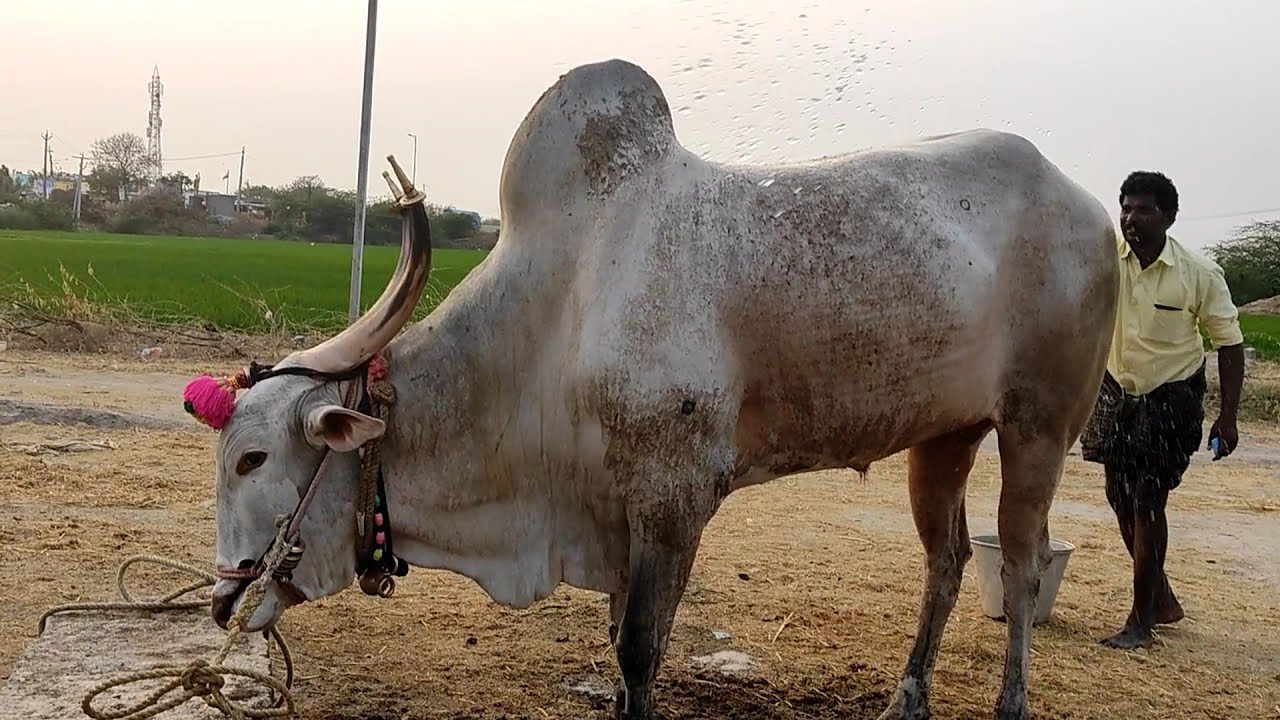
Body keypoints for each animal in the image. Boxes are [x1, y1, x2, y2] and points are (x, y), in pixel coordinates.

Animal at [202, 58, 1118, 720]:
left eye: (250, 458)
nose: (222, 598)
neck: (555, 321)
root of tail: (1088, 205)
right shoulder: (617, 516)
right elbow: (623, 648)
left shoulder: (674, 500)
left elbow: (641, 653)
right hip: (945, 435)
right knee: (948, 559)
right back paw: (908, 698)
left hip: (1040, 426)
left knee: (1023, 564)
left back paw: (1009, 702)